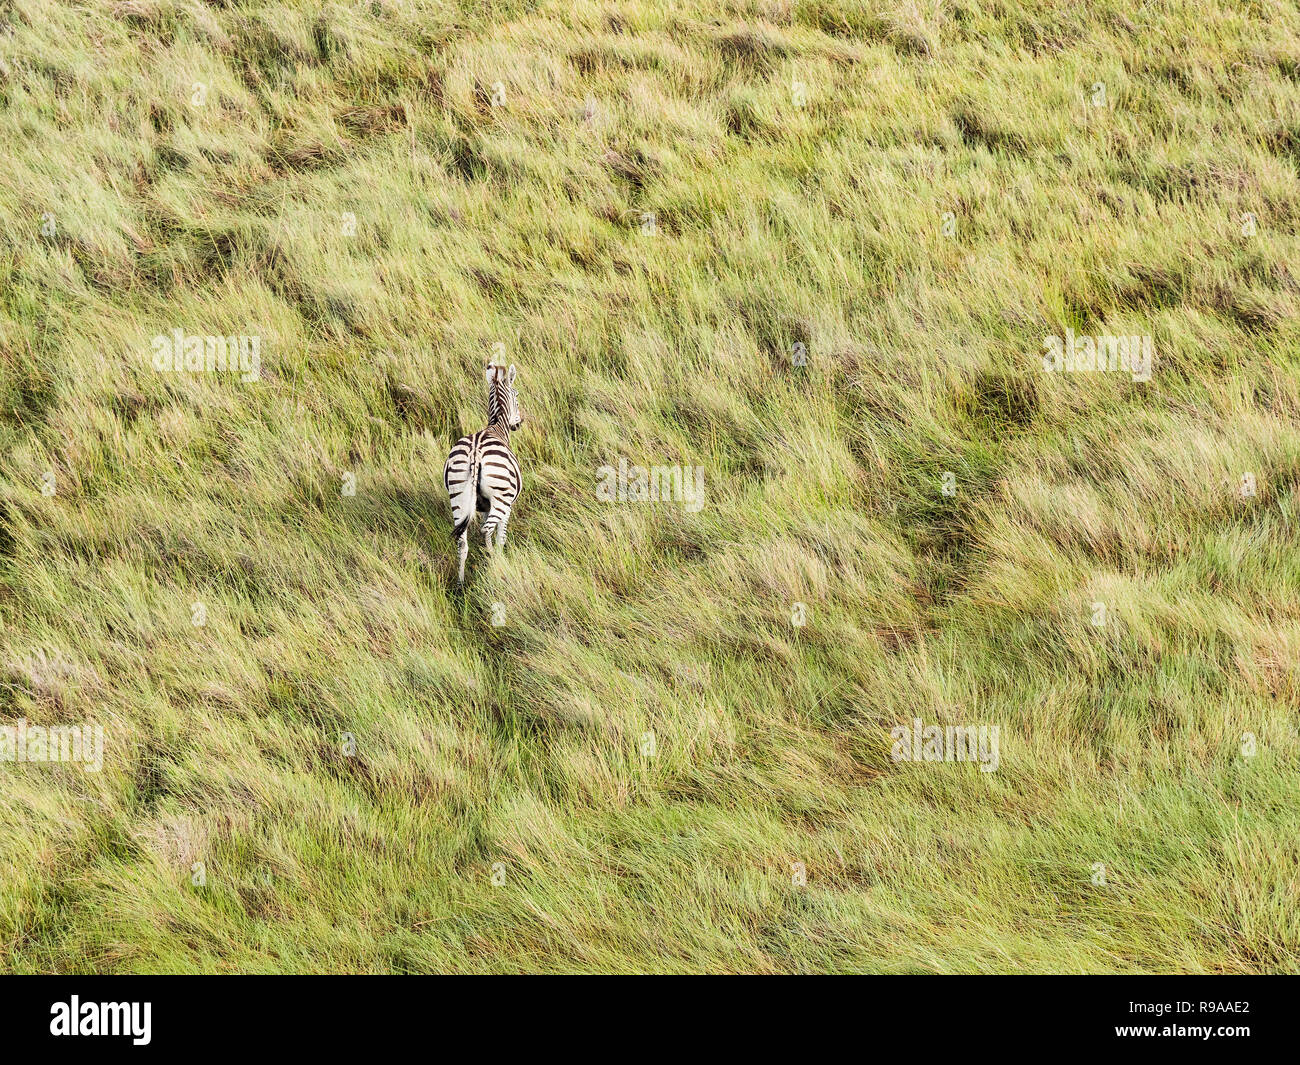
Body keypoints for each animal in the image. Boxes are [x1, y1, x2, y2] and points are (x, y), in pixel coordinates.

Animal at [444, 363, 524, 584]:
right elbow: (500, 536)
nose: (519, 423)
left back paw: (460, 584)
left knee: (462, 541)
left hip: (458, 497)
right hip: (501, 498)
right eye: (517, 395)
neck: (496, 427)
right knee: (486, 530)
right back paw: (492, 562)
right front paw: (497, 559)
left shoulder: (484, 506)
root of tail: (475, 451)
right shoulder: (506, 506)